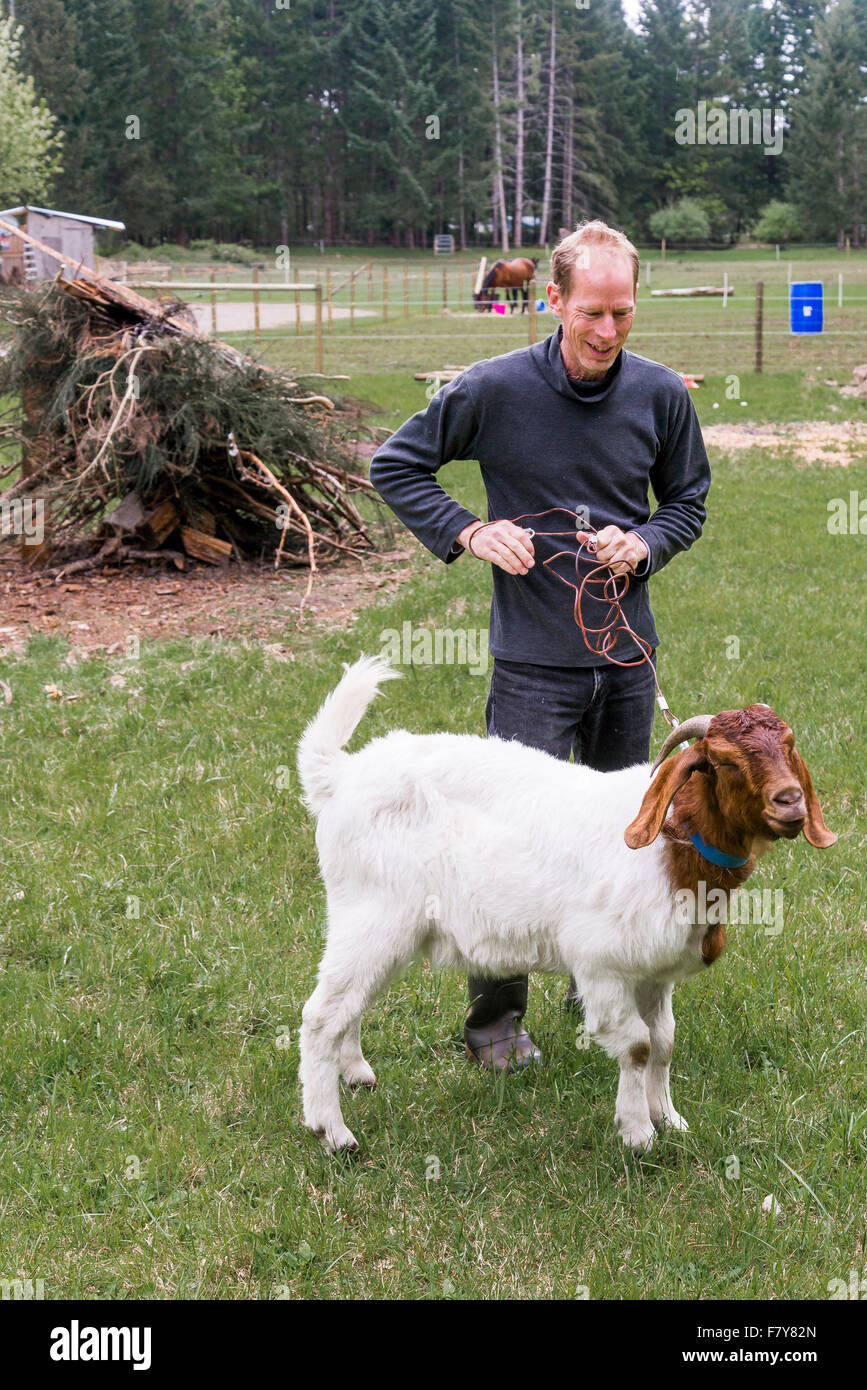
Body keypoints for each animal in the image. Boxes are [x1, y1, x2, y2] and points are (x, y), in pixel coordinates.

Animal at [297, 657, 836, 1154]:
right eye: (724, 760)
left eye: (789, 748)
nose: (791, 801)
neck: (674, 838)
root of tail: (341, 776)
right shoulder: (602, 964)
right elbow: (637, 1045)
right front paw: (638, 1133)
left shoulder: (654, 972)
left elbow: (664, 1041)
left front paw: (670, 1119)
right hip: (372, 915)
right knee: (321, 1015)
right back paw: (333, 1132)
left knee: (350, 1005)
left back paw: (357, 1073)